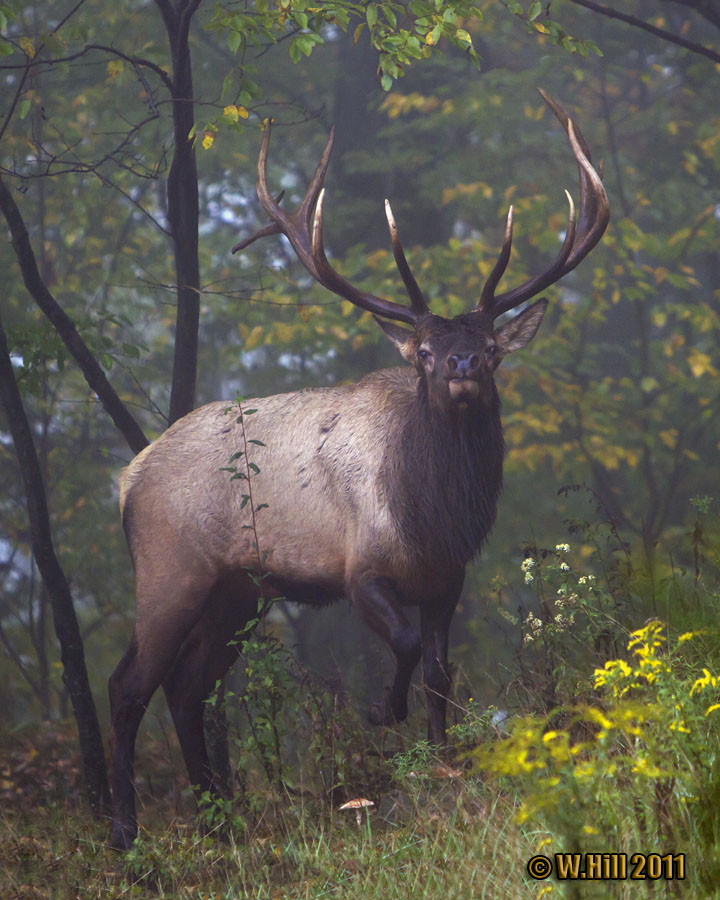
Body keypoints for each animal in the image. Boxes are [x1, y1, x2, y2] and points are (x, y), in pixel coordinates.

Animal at [108, 90, 609, 849]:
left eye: (493, 348)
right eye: (424, 351)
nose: (463, 363)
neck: (431, 516)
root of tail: (127, 481)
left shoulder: (448, 579)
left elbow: (440, 671)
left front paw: (441, 760)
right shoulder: (359, 569)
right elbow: (402, 643)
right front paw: (380, 714)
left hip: (238, 591)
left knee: (189, 686)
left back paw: (219, 817)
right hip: (171, 569)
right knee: (129, 684)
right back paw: (125, 830)